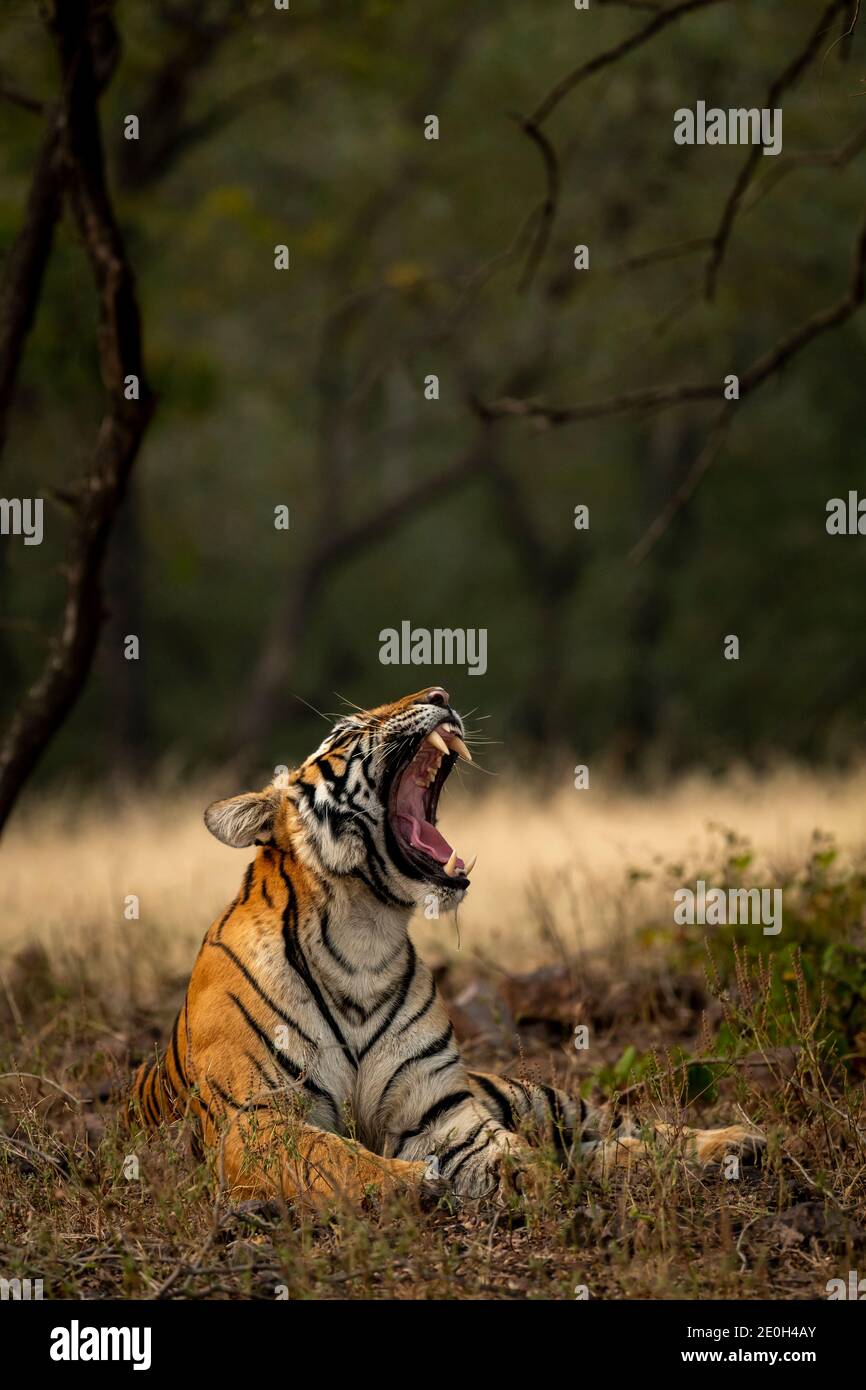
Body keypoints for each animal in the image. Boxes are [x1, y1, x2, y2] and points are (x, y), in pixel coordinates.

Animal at [132, 686, 765, 1205]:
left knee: (626, 1126)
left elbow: (502, 1148)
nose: (440, 693)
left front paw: (527, 1177)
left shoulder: (438, 1111)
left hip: (537, 1096)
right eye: (349, 729)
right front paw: (417, 1183)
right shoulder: (255, 1120)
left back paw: (736, 1143)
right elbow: (337, 1159)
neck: (363, 939)